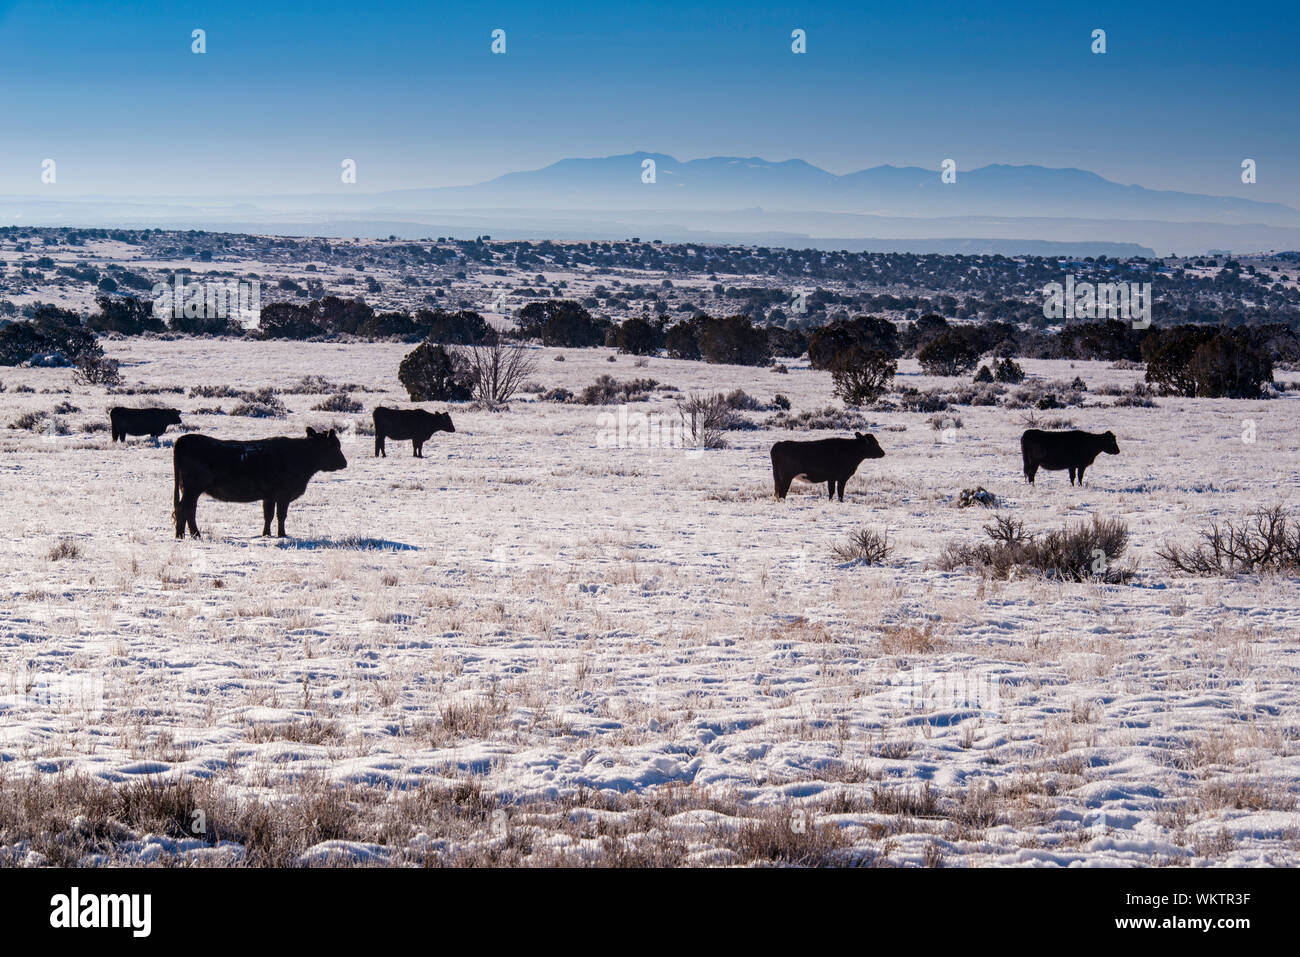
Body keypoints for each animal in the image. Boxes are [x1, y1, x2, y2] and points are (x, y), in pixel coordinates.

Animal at [172, 427, 347, 538]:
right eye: (335, 446)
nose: (345, 463)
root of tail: (183, 439)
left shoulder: (269, 496)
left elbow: (268, 516)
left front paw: (266, 534)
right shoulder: (283, 495)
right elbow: (281, 515)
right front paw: (282, 535)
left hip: (189, 489)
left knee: (188, 509)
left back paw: (186, 535)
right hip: (192, 488)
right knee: (185, 509)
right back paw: (188, 535)